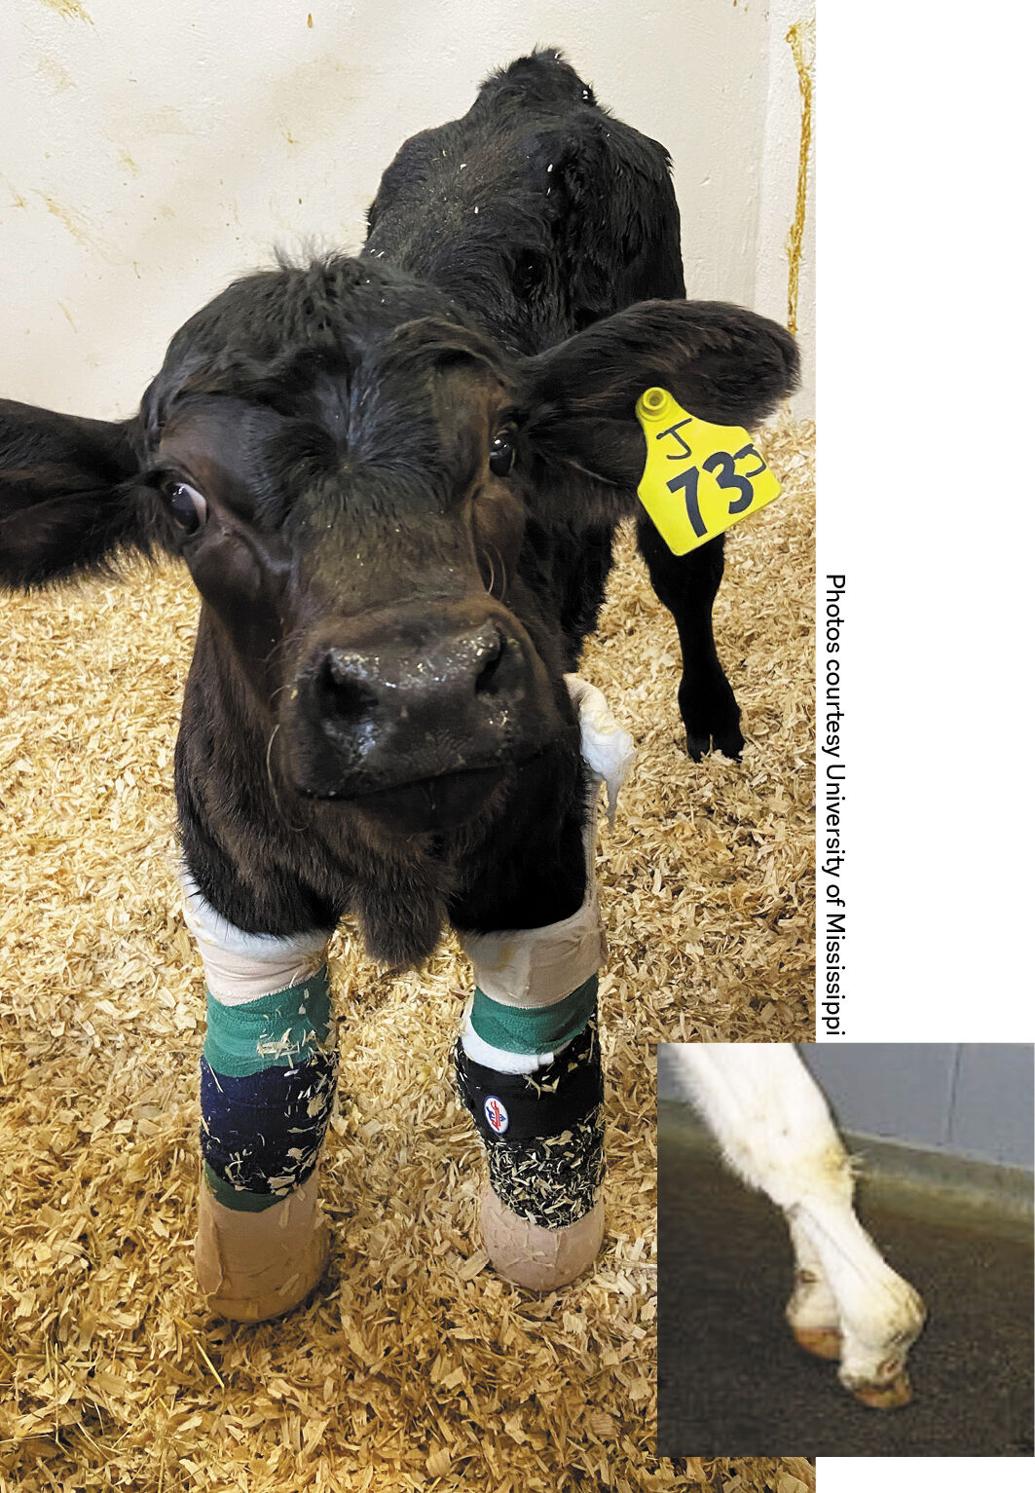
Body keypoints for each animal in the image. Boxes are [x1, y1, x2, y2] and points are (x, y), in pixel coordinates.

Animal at [1, 52, 797, 1325]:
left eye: (507, 442)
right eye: (181, 496)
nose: (420, 689)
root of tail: (538, 84)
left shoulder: (541, 870)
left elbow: (536, 1102)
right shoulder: (242, 897)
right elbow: (263, 1112)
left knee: (688, 572)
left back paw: (711, 716)